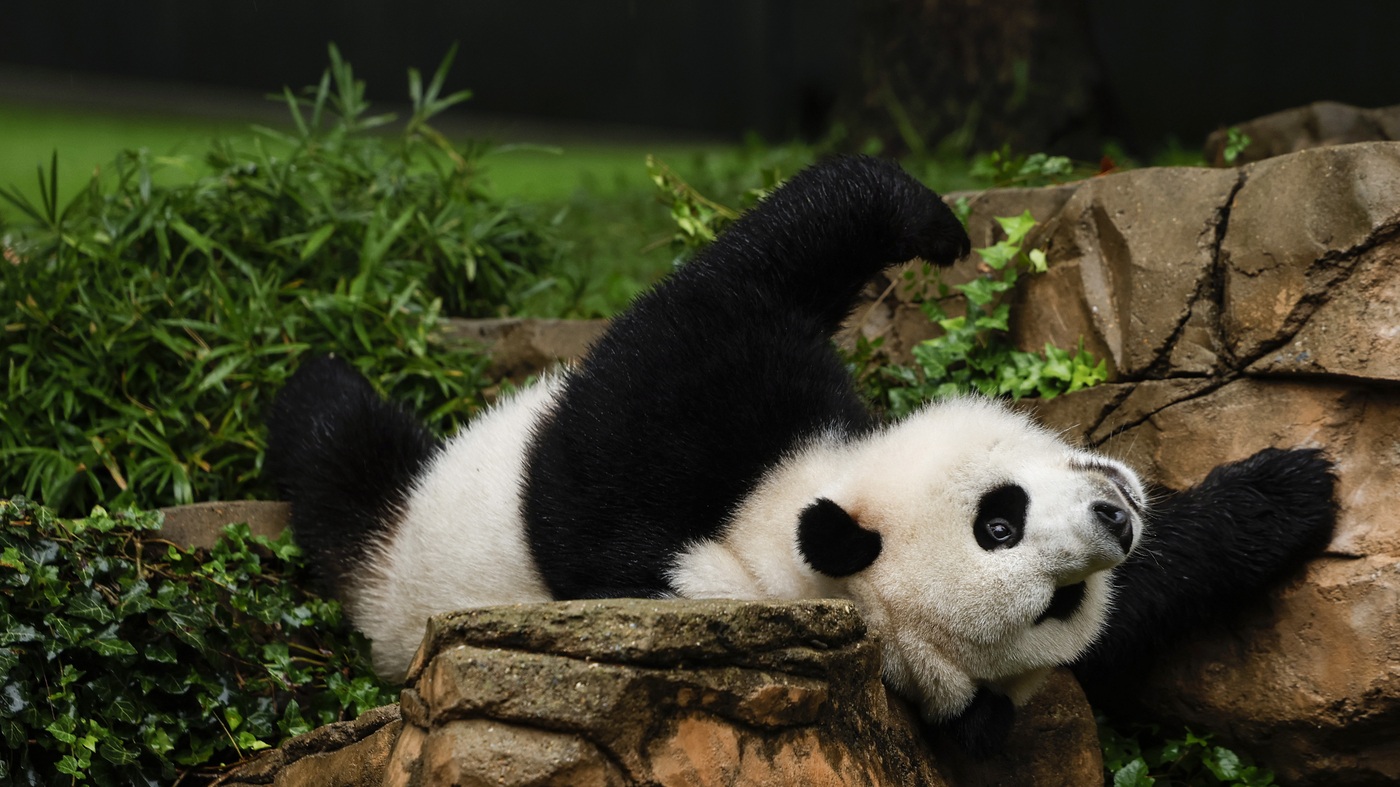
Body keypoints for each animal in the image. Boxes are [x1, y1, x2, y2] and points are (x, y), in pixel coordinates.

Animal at [265, 156, 1337, 755]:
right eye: (1000, 522)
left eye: (1060, 600)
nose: (1115, 517)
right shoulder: (673, 443)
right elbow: (710, 307)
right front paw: (932, 225)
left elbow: (1143, 604)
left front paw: (1280, 499)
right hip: (413, 514)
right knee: (339, 444)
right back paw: (312, 375)